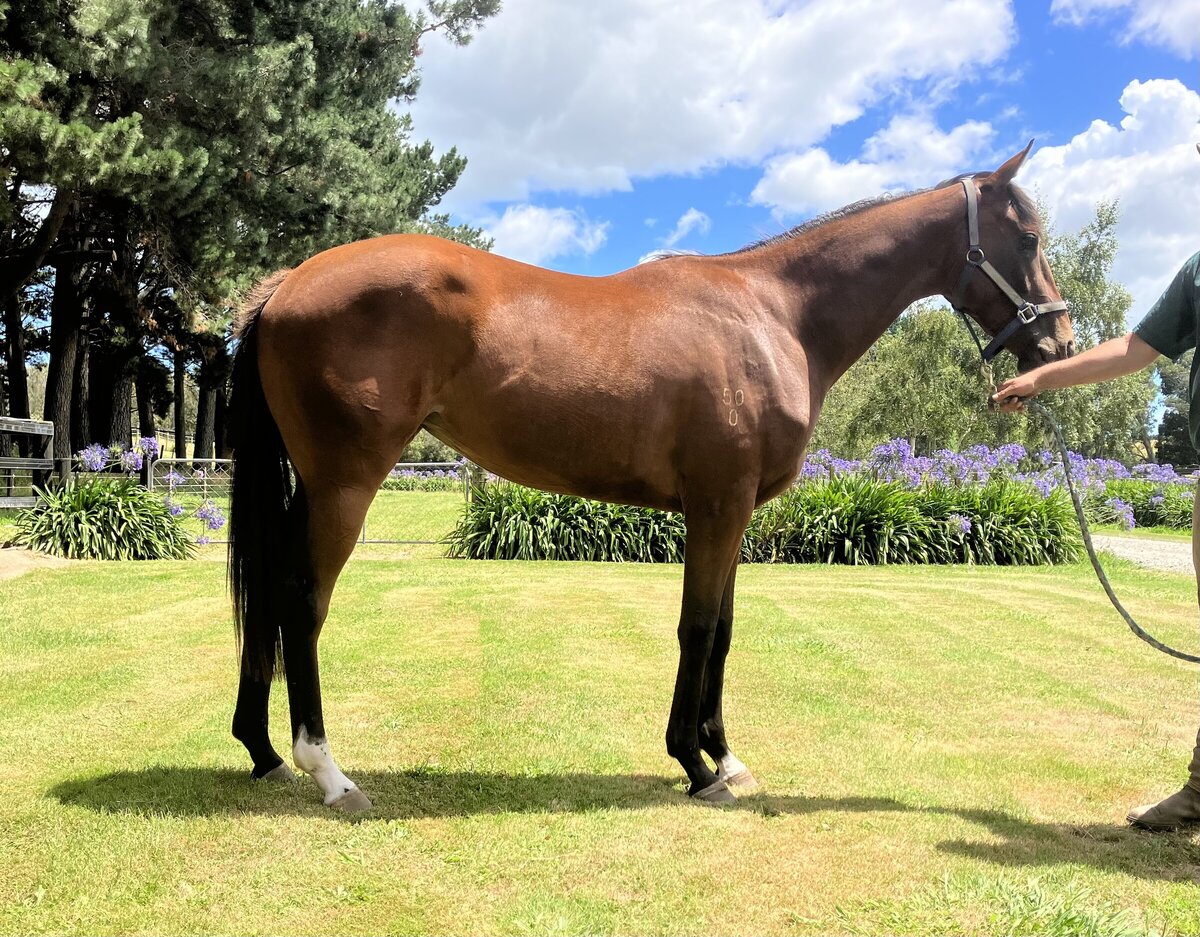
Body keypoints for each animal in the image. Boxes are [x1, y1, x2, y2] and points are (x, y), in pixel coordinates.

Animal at [227, 143, 1074, 811]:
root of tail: (287, 285)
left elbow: (723, 632)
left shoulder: (736, 510)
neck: (774, 315)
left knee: (268, 595)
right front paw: (695, 764)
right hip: (345, 483)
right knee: (303, 603)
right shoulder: (716, 504)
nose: (1060, 343)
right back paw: (328, 772)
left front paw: (726, 756)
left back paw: (263, 751)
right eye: (1028, 235)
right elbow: (696, 628)